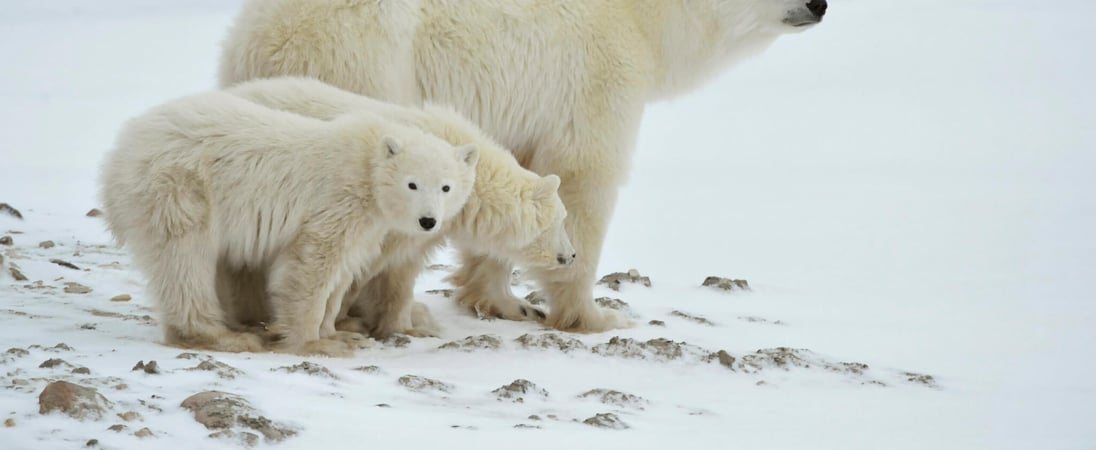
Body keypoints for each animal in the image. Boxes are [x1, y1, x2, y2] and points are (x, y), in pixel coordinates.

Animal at [98, 90, 478, 356]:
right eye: (412, 183)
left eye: (446, 187)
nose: (428, 220)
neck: (366, 164)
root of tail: (120, 151)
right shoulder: (336, 201)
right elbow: (312, 264)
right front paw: (315, 343)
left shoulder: (368, 224)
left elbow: (342, 272)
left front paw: (340, 333)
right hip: (180, 187)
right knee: (185, 260)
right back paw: (224, 337)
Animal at [224, 76, 579, 338]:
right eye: (561, 221)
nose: (571, 255)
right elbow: (361, 268)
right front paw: (345, 321)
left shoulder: (423, 226)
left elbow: (400, 271)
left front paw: (404, 326)